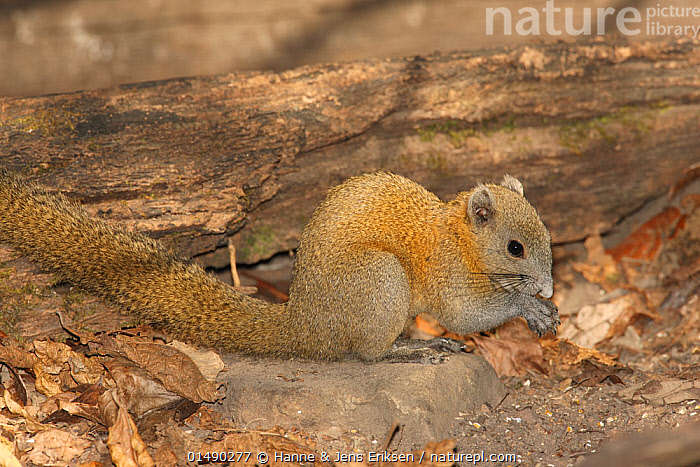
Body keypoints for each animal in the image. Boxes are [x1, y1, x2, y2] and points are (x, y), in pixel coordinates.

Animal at [0, 169, 559, 361]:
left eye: (549, 237)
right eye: (515, 248)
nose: (552, 290)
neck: (458, 237)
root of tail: (306, 325)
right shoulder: (445, 272)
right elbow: (466, 313)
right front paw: (528, 307)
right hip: (380, 279)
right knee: (365, 354)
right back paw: (411, 349)